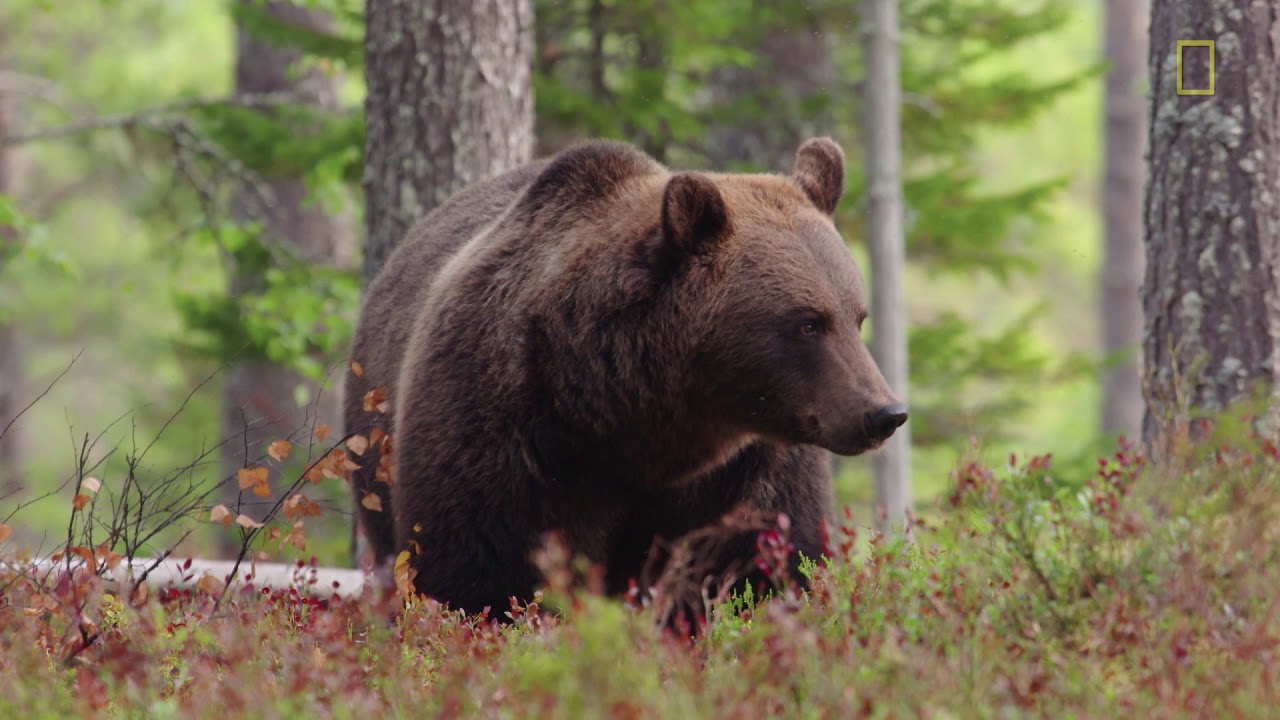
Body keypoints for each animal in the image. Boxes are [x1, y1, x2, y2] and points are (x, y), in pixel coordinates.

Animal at [343, 137, 908, 623]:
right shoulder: (506, 422)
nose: (884, 413)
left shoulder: (751, 471)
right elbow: (484, 572)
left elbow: (759, 566)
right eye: (808, 322)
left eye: (856, 316)